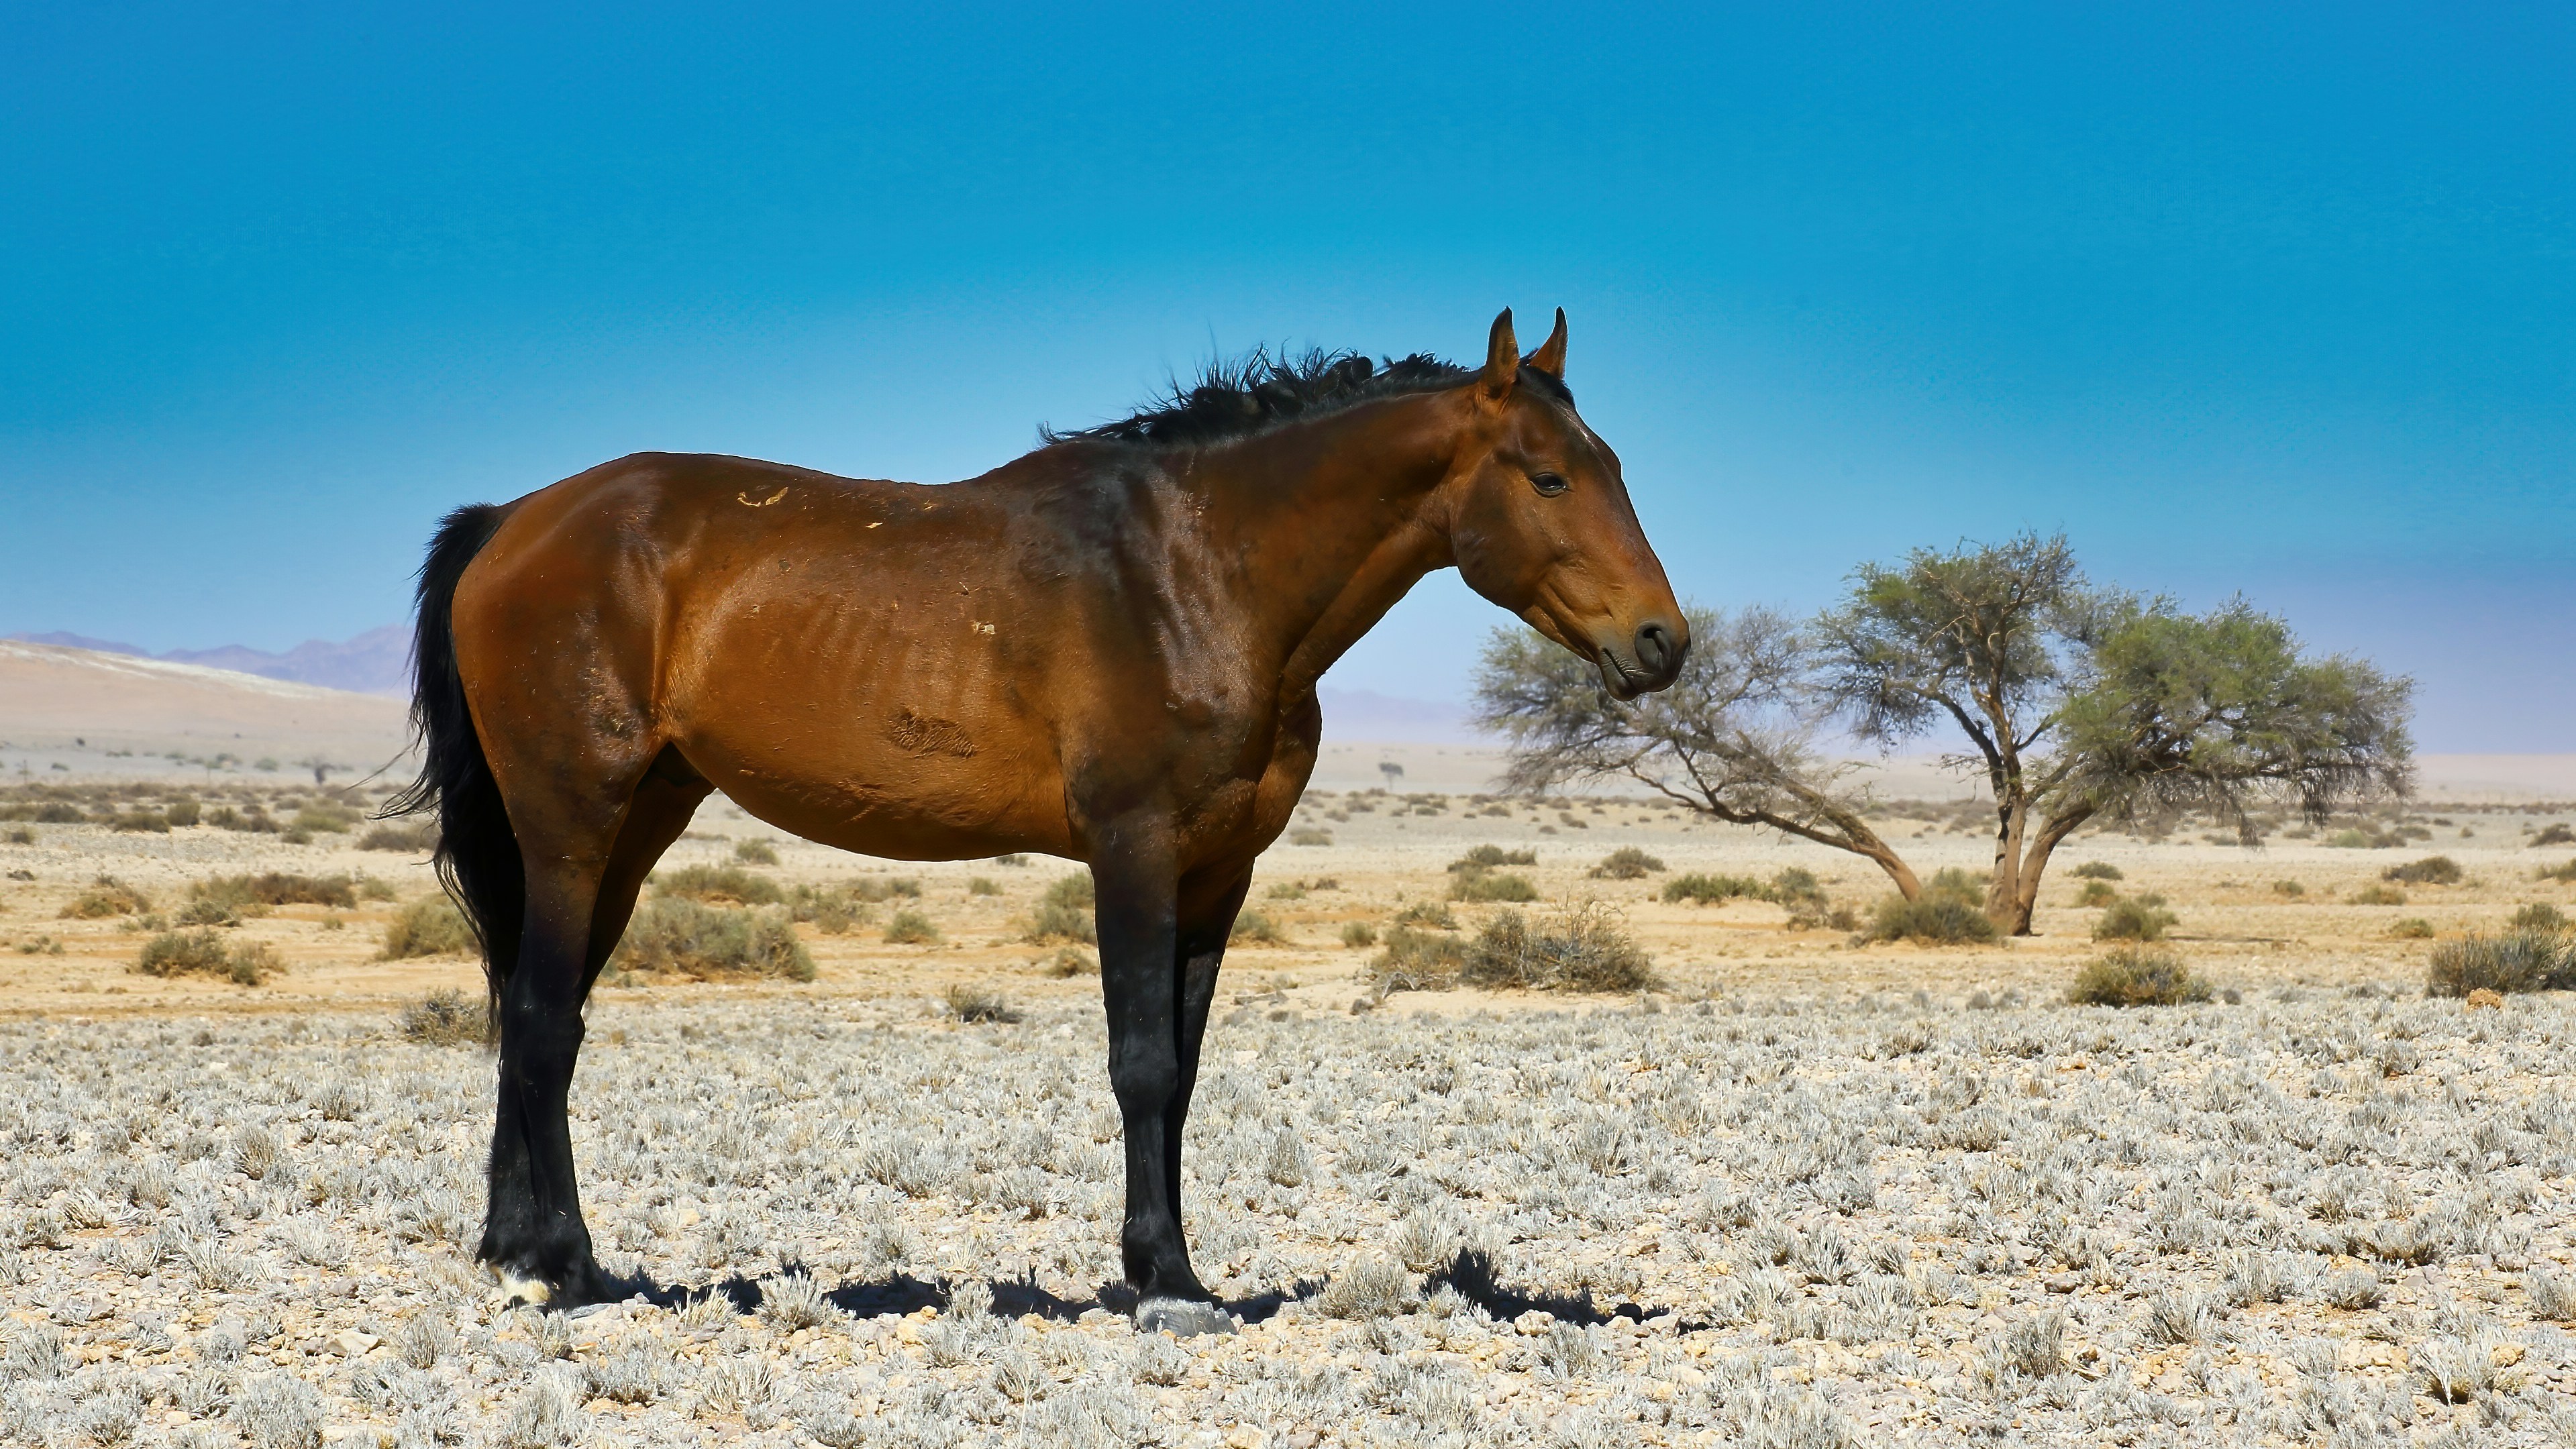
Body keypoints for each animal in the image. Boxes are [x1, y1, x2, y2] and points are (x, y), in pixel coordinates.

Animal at [390, 308, 1688, 1334]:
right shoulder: (1133, 851)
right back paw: (558, 1271)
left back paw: (522, 1254)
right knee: (544, 1020)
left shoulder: (1217, 875)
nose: (1660, 643)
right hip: (572, 826)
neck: (1196, 572)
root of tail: (512, 521)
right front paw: (1165, 1286)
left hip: (634, 829)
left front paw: (1173, 1271)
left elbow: (1184, 1075)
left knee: (532, 1011)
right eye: (1547, 476)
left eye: (1614, 464)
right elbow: (1141, 1064)